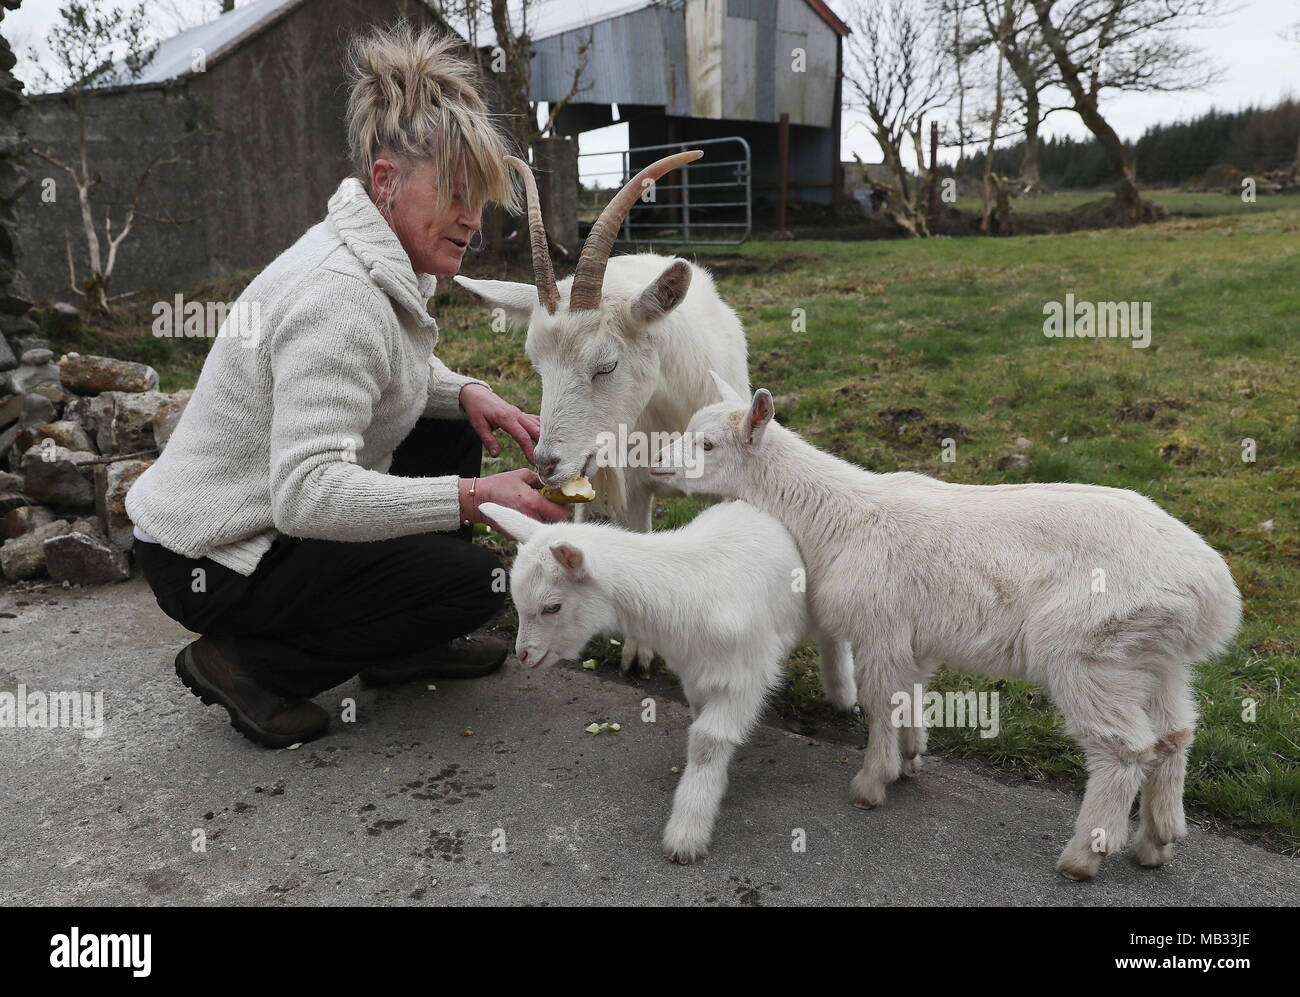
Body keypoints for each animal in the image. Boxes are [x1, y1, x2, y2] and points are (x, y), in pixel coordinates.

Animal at [478, 499, 857, 864]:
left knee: (832, 633)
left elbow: (707, 742)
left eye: (553, 607)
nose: (523, 655)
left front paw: (686, 834)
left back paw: (842, 693)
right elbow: (701, 728)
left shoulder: (743, 677)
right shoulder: (695, 674)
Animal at [651, 372, 1242, 880]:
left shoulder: (881, 627)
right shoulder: (914, 638)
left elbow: (880, 704)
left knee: (1125, 750)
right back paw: (1158, 840)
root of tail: (1211, 590)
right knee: (1174, 736)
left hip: (1091, 651)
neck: (834, 517)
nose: (654, 464)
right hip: (1154, 656)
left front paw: (872, 783)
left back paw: (1083, 856)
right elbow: (910, 694)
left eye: (708, 445)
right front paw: (911, 756)